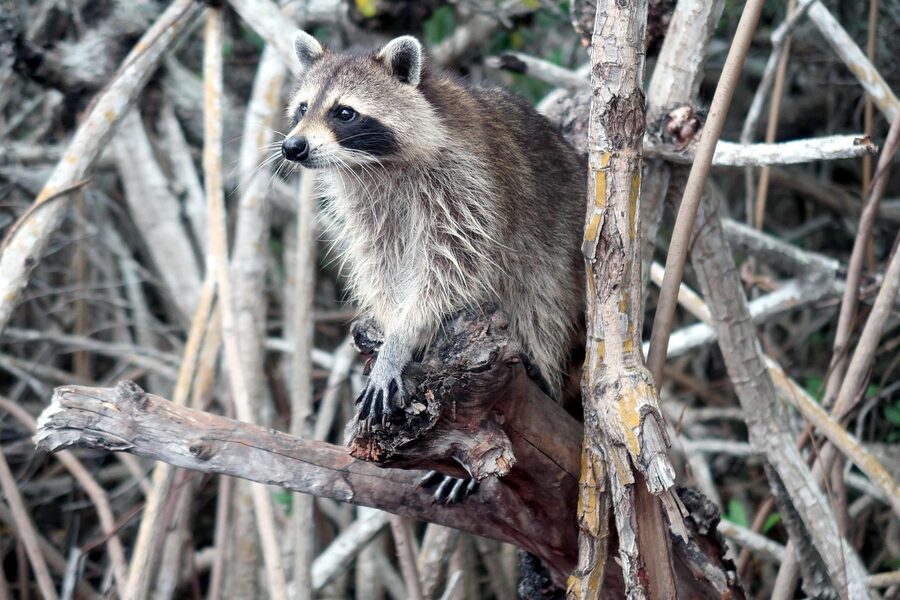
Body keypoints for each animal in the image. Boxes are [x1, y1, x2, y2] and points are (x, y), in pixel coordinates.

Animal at [282, 32, 586, 427]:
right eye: (303, 108)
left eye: (344, 113)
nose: (292, 147)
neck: (376, 165)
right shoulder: (367, 206)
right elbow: (381, 263)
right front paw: (390, 325)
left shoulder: (465, 186)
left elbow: (451, 267)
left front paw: (402, 337)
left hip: (558, 237)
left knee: (542, 298)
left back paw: (542, 367)